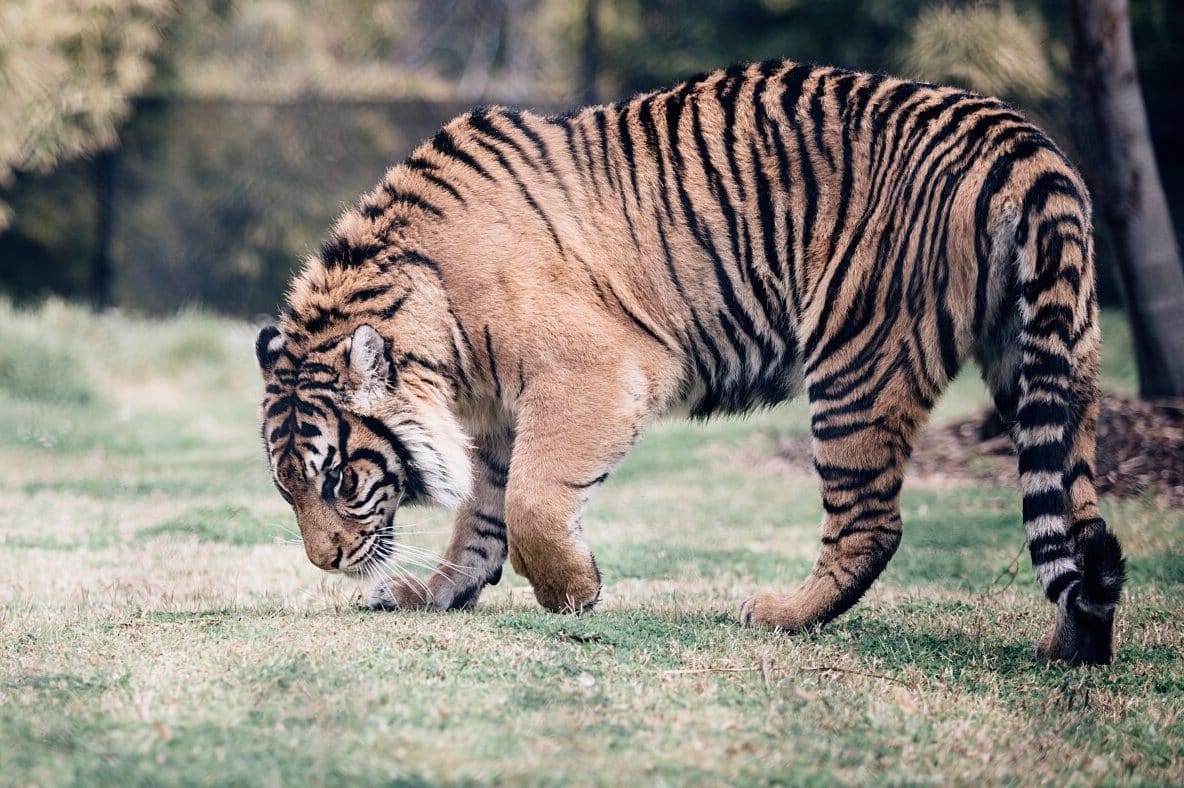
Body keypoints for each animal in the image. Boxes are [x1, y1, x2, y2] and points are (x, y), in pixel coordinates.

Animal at [256, 59, 1126, 665]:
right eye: (287, 488)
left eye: (342, 479)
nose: (326, 562)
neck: (437, 329)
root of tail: (1018, 141)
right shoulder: (497, 416)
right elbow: (481, 515)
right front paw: (432, 593)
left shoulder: (593, 372)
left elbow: (530, 502)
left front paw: (574, 592)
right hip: (1046, 360)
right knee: (1075, 516)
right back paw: (1070, 645)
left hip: (856, 359)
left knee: (872, 522)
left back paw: (780, 614)